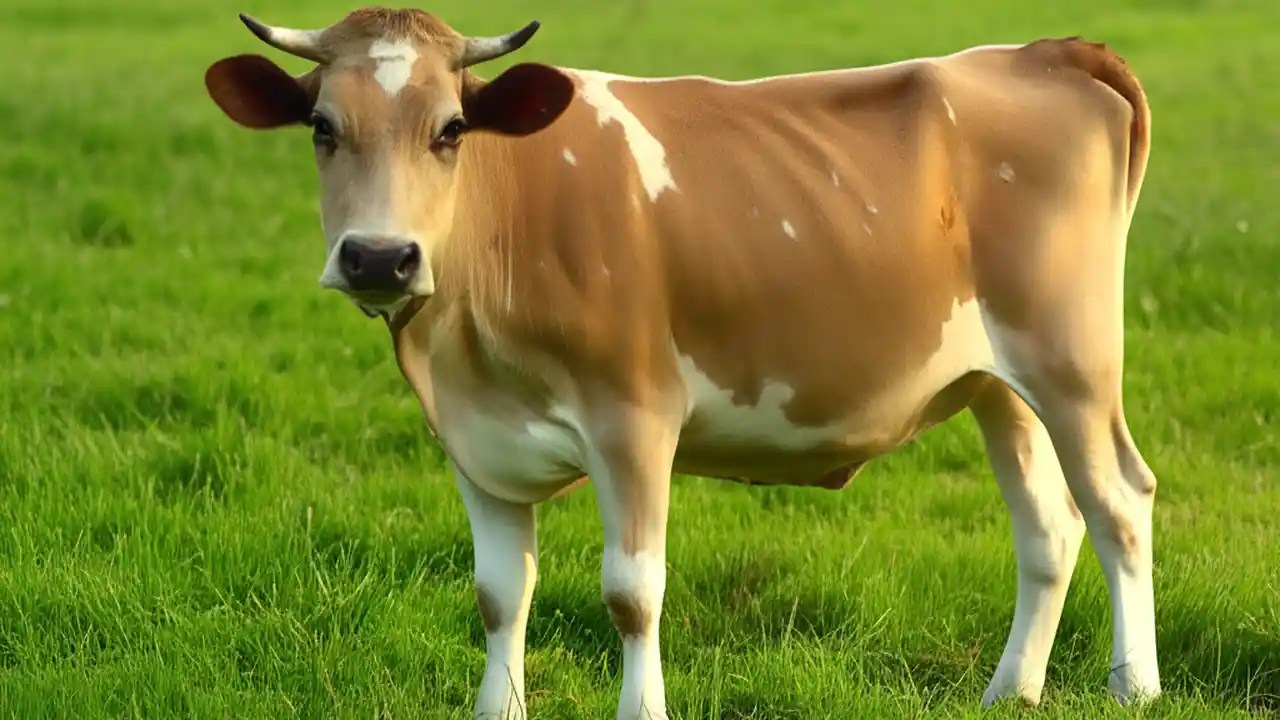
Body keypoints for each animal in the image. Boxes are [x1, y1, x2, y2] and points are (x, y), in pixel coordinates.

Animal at [204, 6, 1159, 718]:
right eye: (322, 127)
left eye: (452, 129)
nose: (378, 257)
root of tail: (1041, 51)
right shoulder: (475, 441)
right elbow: (498, 593)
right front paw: (497, 708)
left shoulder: (634, 418)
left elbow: (632, 592)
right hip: (1000, 386)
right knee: (1047, 525)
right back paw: (1010, 691)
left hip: (1072, 360)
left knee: (1117, 501)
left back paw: (1134, 687)